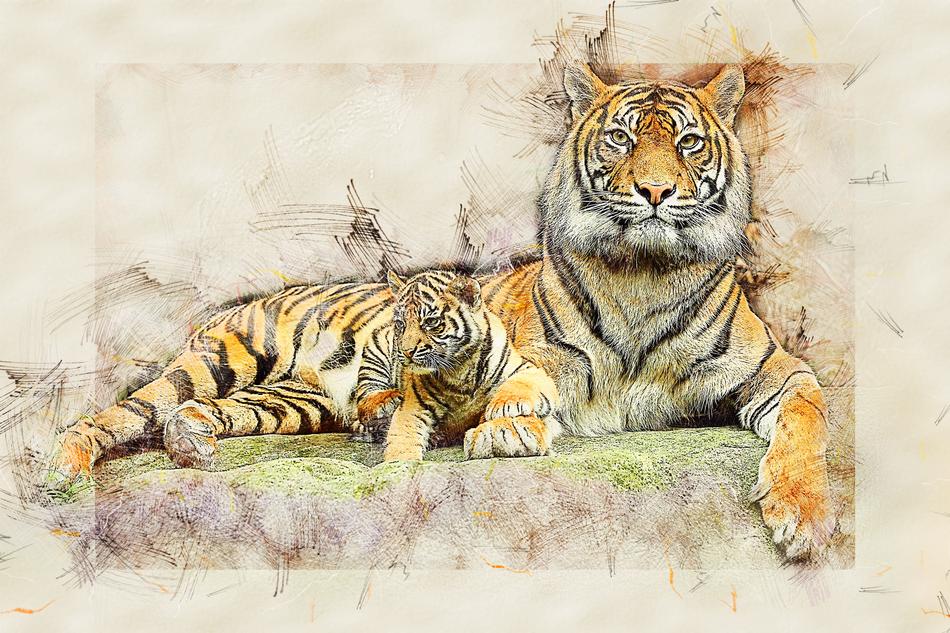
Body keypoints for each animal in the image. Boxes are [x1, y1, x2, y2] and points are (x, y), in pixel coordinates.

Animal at [381, 270, 560, 461]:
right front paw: (399, 463)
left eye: (430, 322)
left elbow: (520, 384)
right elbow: (402, 437)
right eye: (400, 324)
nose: (407, 351)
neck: (459, 368)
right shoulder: (413, 404)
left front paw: (503, 407)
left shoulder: (529, 369)